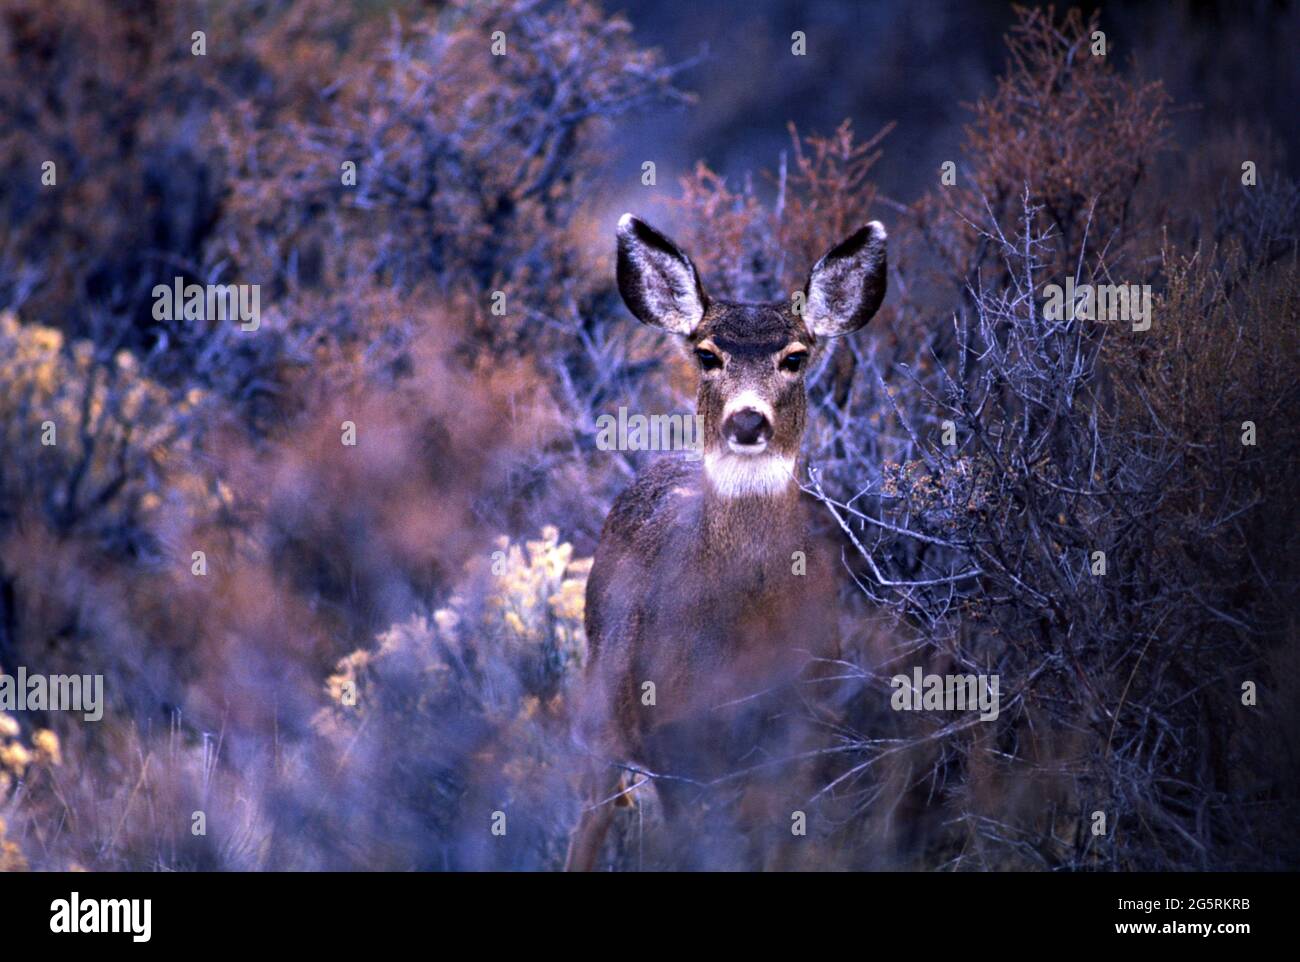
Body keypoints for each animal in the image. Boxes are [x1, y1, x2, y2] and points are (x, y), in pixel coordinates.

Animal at [565, 213, 887, 871]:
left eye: (795, 357)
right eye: (707, 354)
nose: (747, 420)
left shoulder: (803, 737)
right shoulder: (675, 745)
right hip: (600, 708)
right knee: (590, 817)